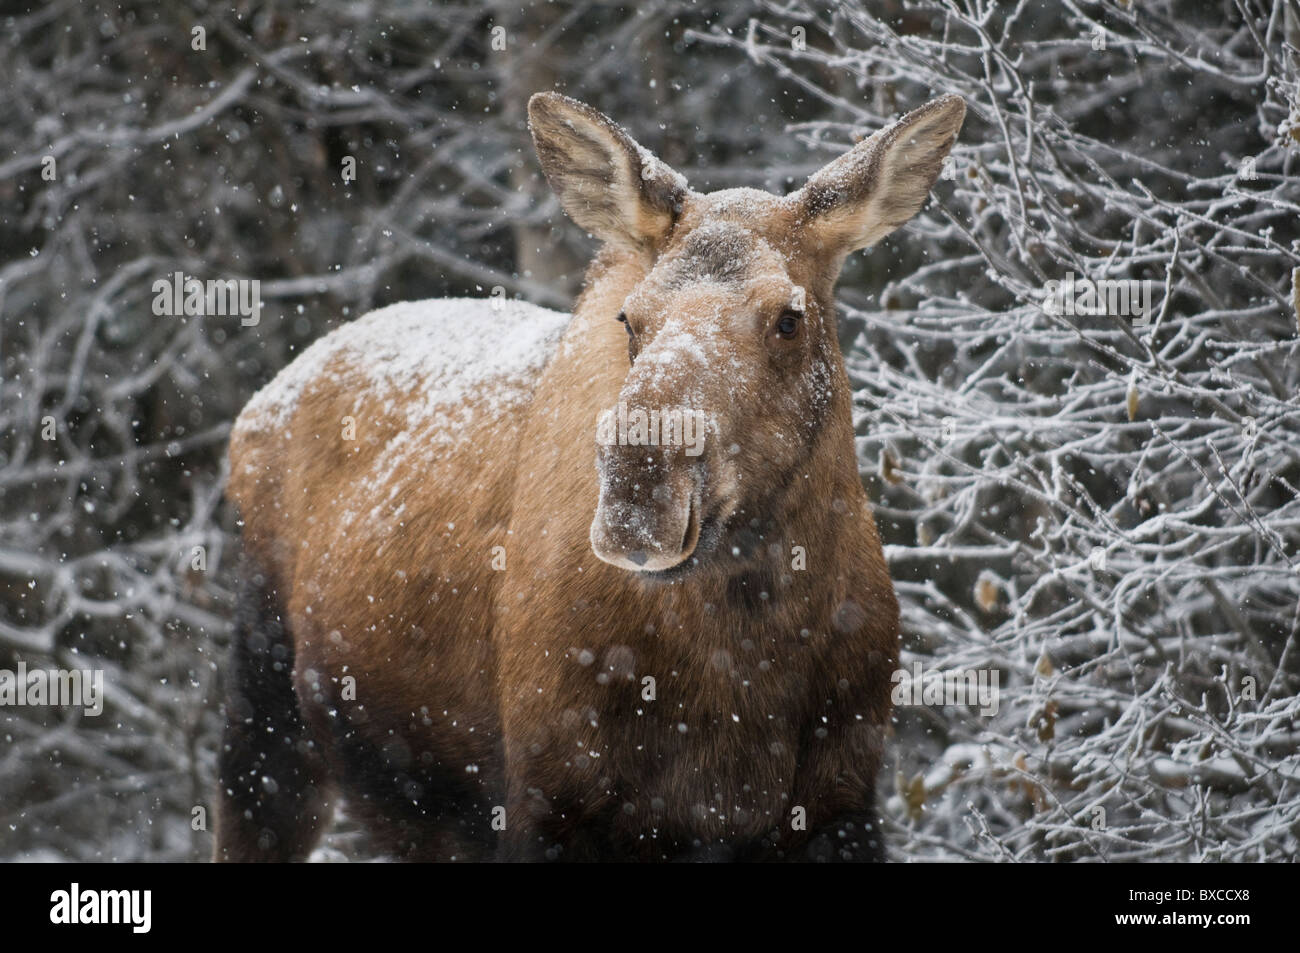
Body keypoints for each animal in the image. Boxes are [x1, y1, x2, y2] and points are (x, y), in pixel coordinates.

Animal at [215, 91, 966, 862]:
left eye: (789, 317)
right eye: (630, 317)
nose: (641, 489)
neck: (744, 662)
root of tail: (256, 408)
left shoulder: (842, 802)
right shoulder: (548, 800)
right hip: (265, 723)